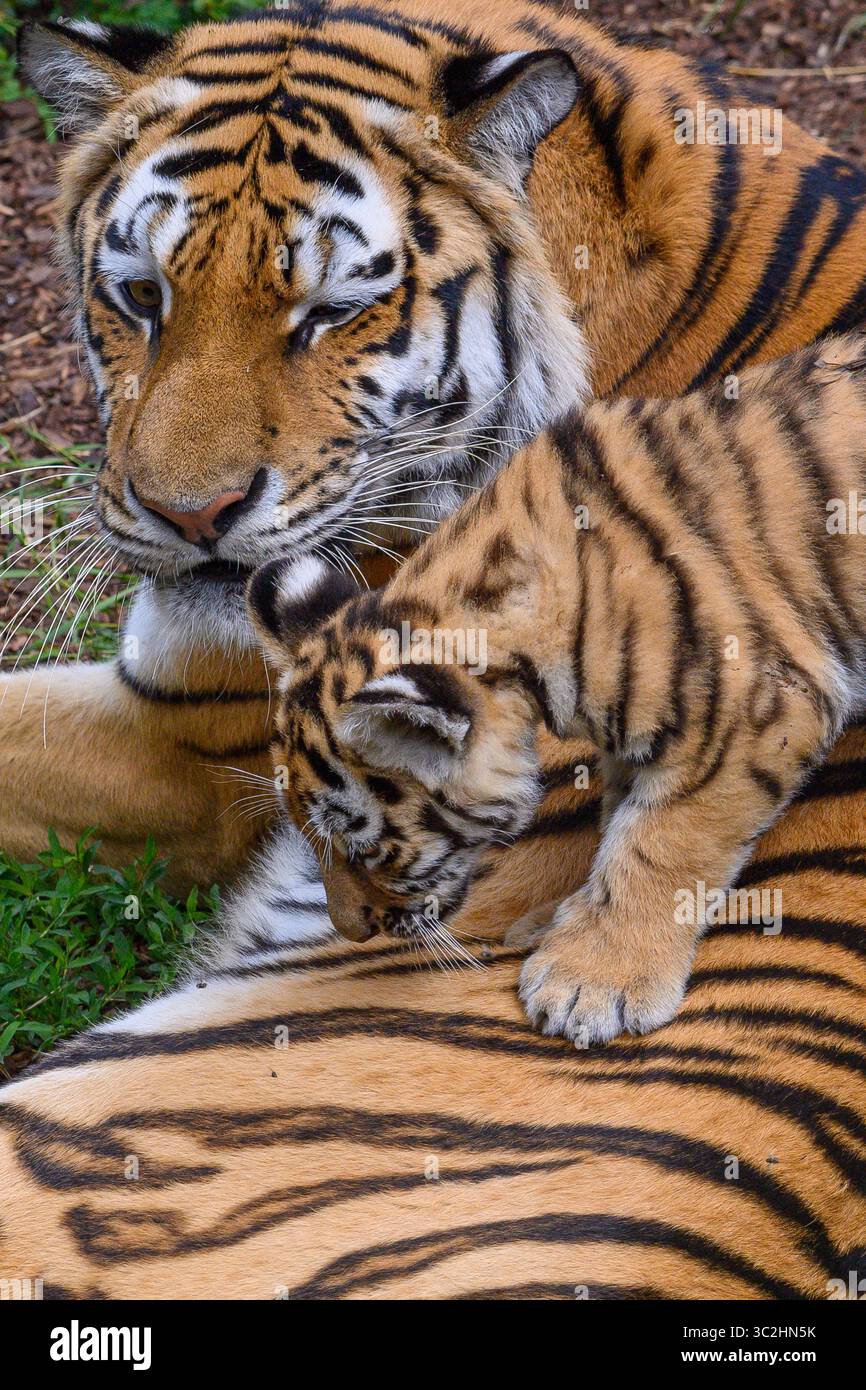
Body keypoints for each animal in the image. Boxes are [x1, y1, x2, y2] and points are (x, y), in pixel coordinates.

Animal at [247, 331, 866, 1046]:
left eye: (362, 846)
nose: (350, 932)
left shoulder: (753, 713)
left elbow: (659, 847)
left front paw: (590, 979)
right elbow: (617, 828)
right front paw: (564, 919)